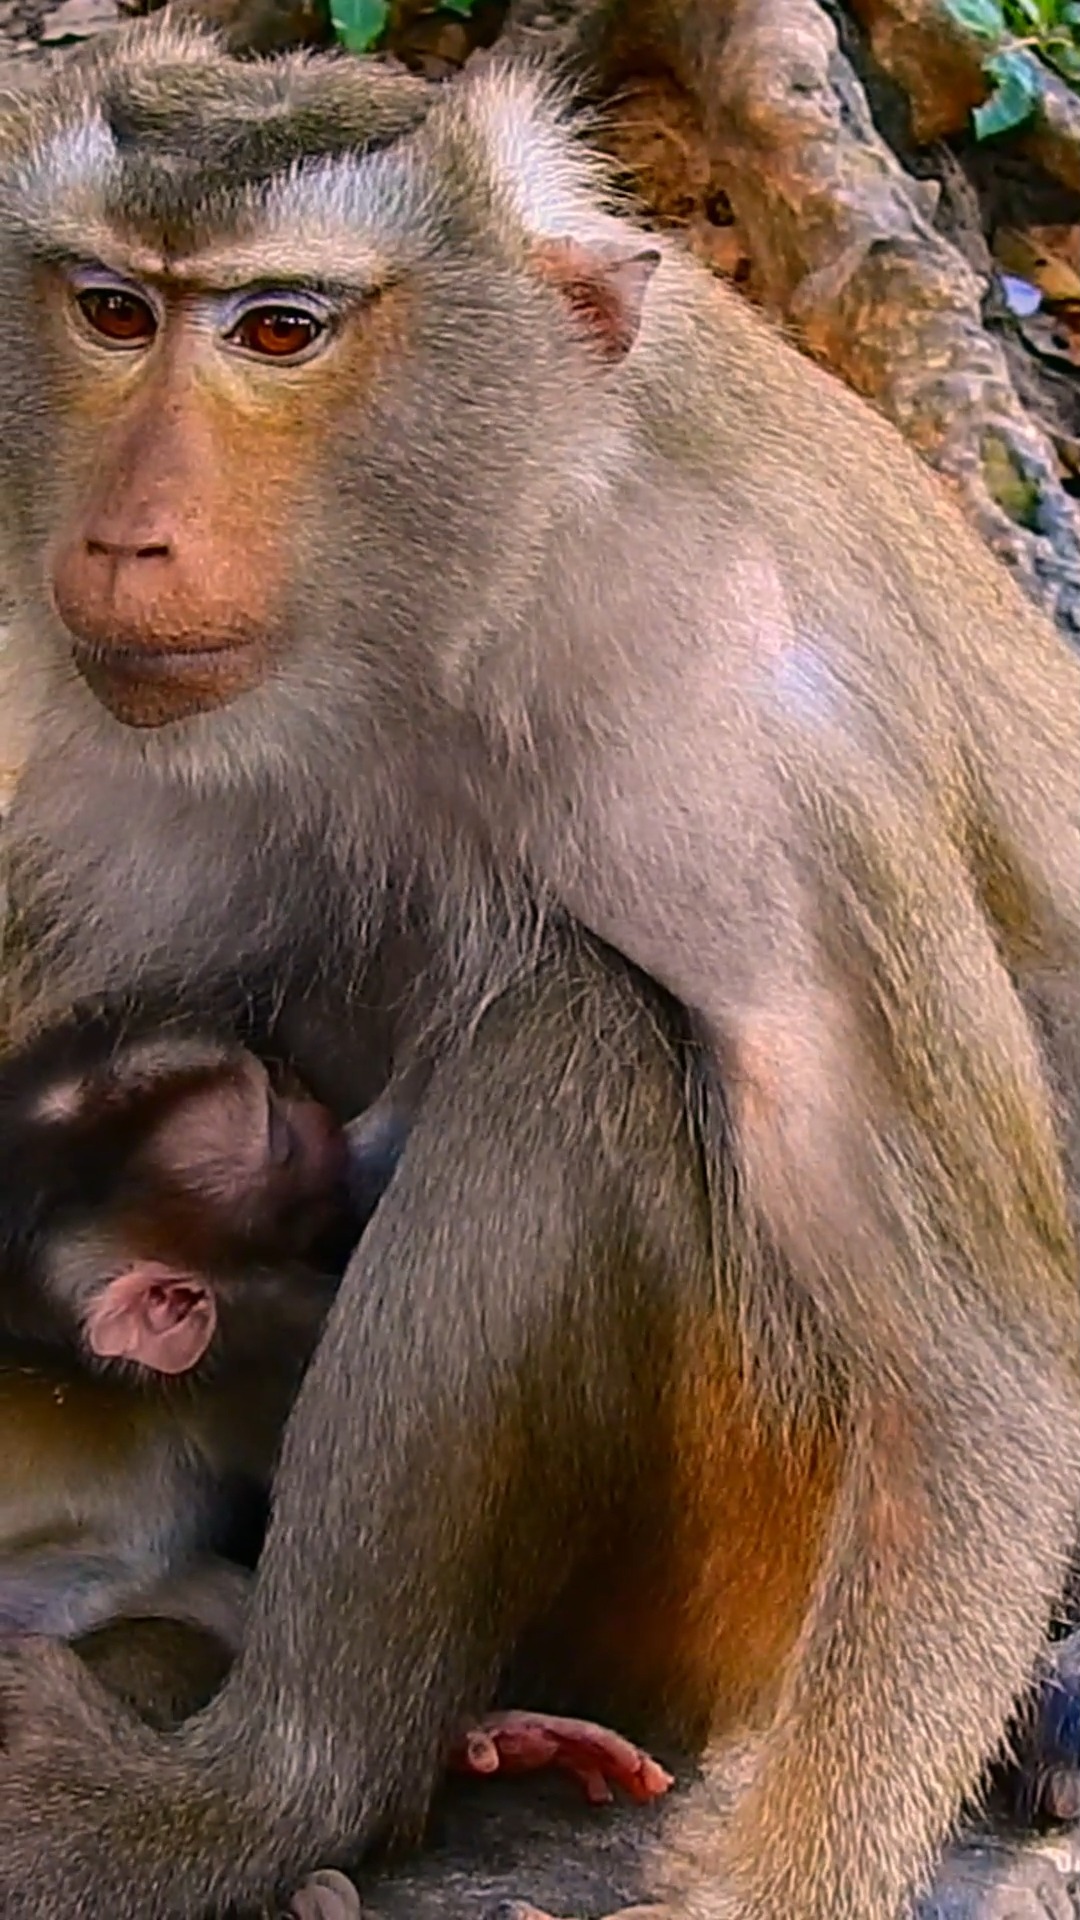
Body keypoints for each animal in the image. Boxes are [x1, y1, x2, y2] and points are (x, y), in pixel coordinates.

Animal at [0, 20, 1080, 1920]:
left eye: (278, 331)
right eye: (114, 309)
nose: (125, 538)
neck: (477, 588)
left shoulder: (766, 735)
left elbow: (980, 1380)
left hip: (737, 1563)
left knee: (574, 1041)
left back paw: (270, 1787)